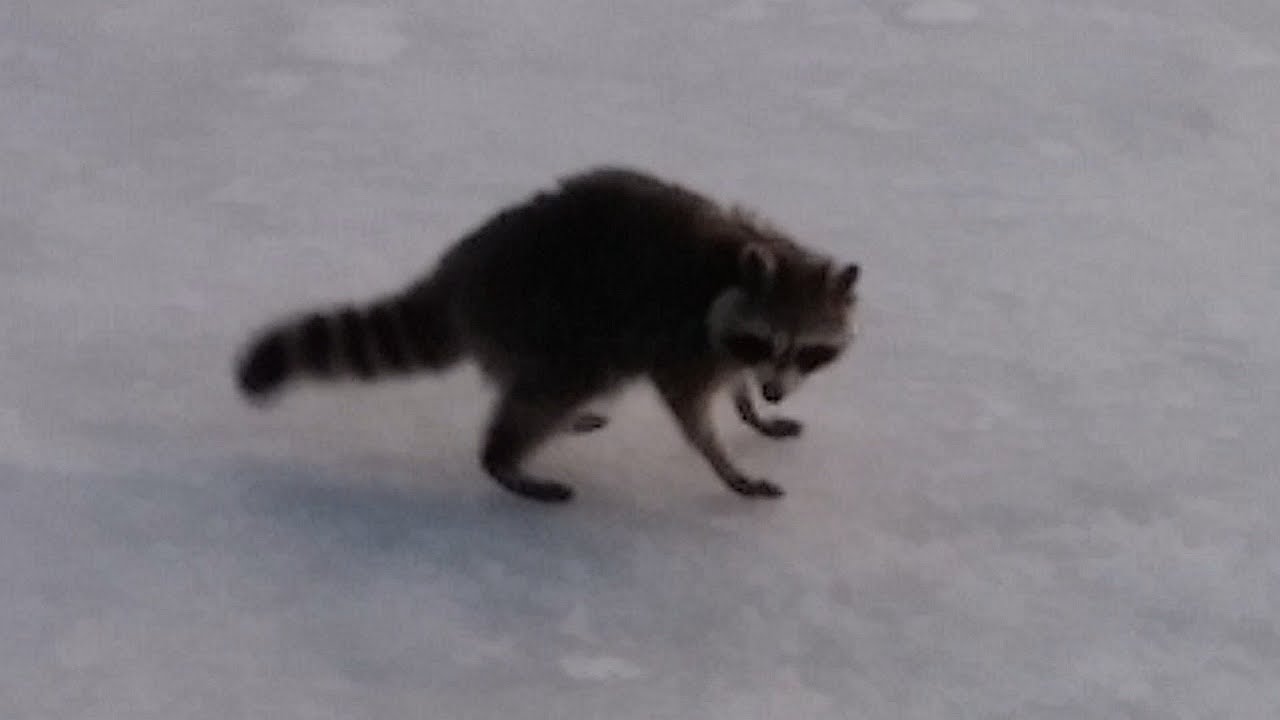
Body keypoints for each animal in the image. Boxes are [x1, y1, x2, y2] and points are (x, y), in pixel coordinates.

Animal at [235, 167, 860, 502]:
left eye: (809, 351)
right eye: (767, 340)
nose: (776, 391)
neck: (744, 259)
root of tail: (460, 271)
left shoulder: (721, 344)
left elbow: (732, 385)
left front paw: (752, 409)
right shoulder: (680, 341)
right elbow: (691, 414)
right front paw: (727, 464)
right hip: (548, 319)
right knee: (559, 385)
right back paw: (503, 460)